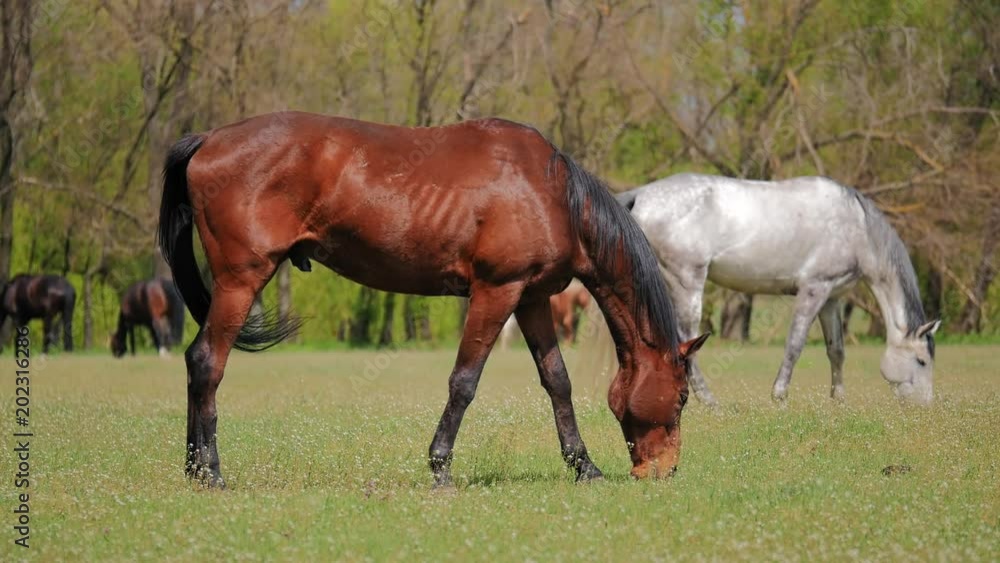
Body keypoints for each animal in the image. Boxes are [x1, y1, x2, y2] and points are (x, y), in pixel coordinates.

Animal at [157, 111, 709, 487]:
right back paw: (211, 472)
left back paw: (192, 468)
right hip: (241, 281)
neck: (551, 193)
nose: (664, 470)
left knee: (193, 360)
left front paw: (584, 466)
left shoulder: (530, 299)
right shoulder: (496, 291)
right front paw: (440, 466)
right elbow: (464, 382)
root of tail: (209, 139)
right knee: (207, 362)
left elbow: (558, 383)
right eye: (682, 397)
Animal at [617, 173, 940, 406]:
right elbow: (794, 345)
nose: (925, 406)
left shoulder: (831, 299)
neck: (857, 228)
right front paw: (779, 396)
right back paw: (709, 402)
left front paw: (838, 400)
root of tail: (641, 194)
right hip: (686, 281)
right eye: (921, 361)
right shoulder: (813, 289)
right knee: (686, 340)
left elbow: (836, 350)